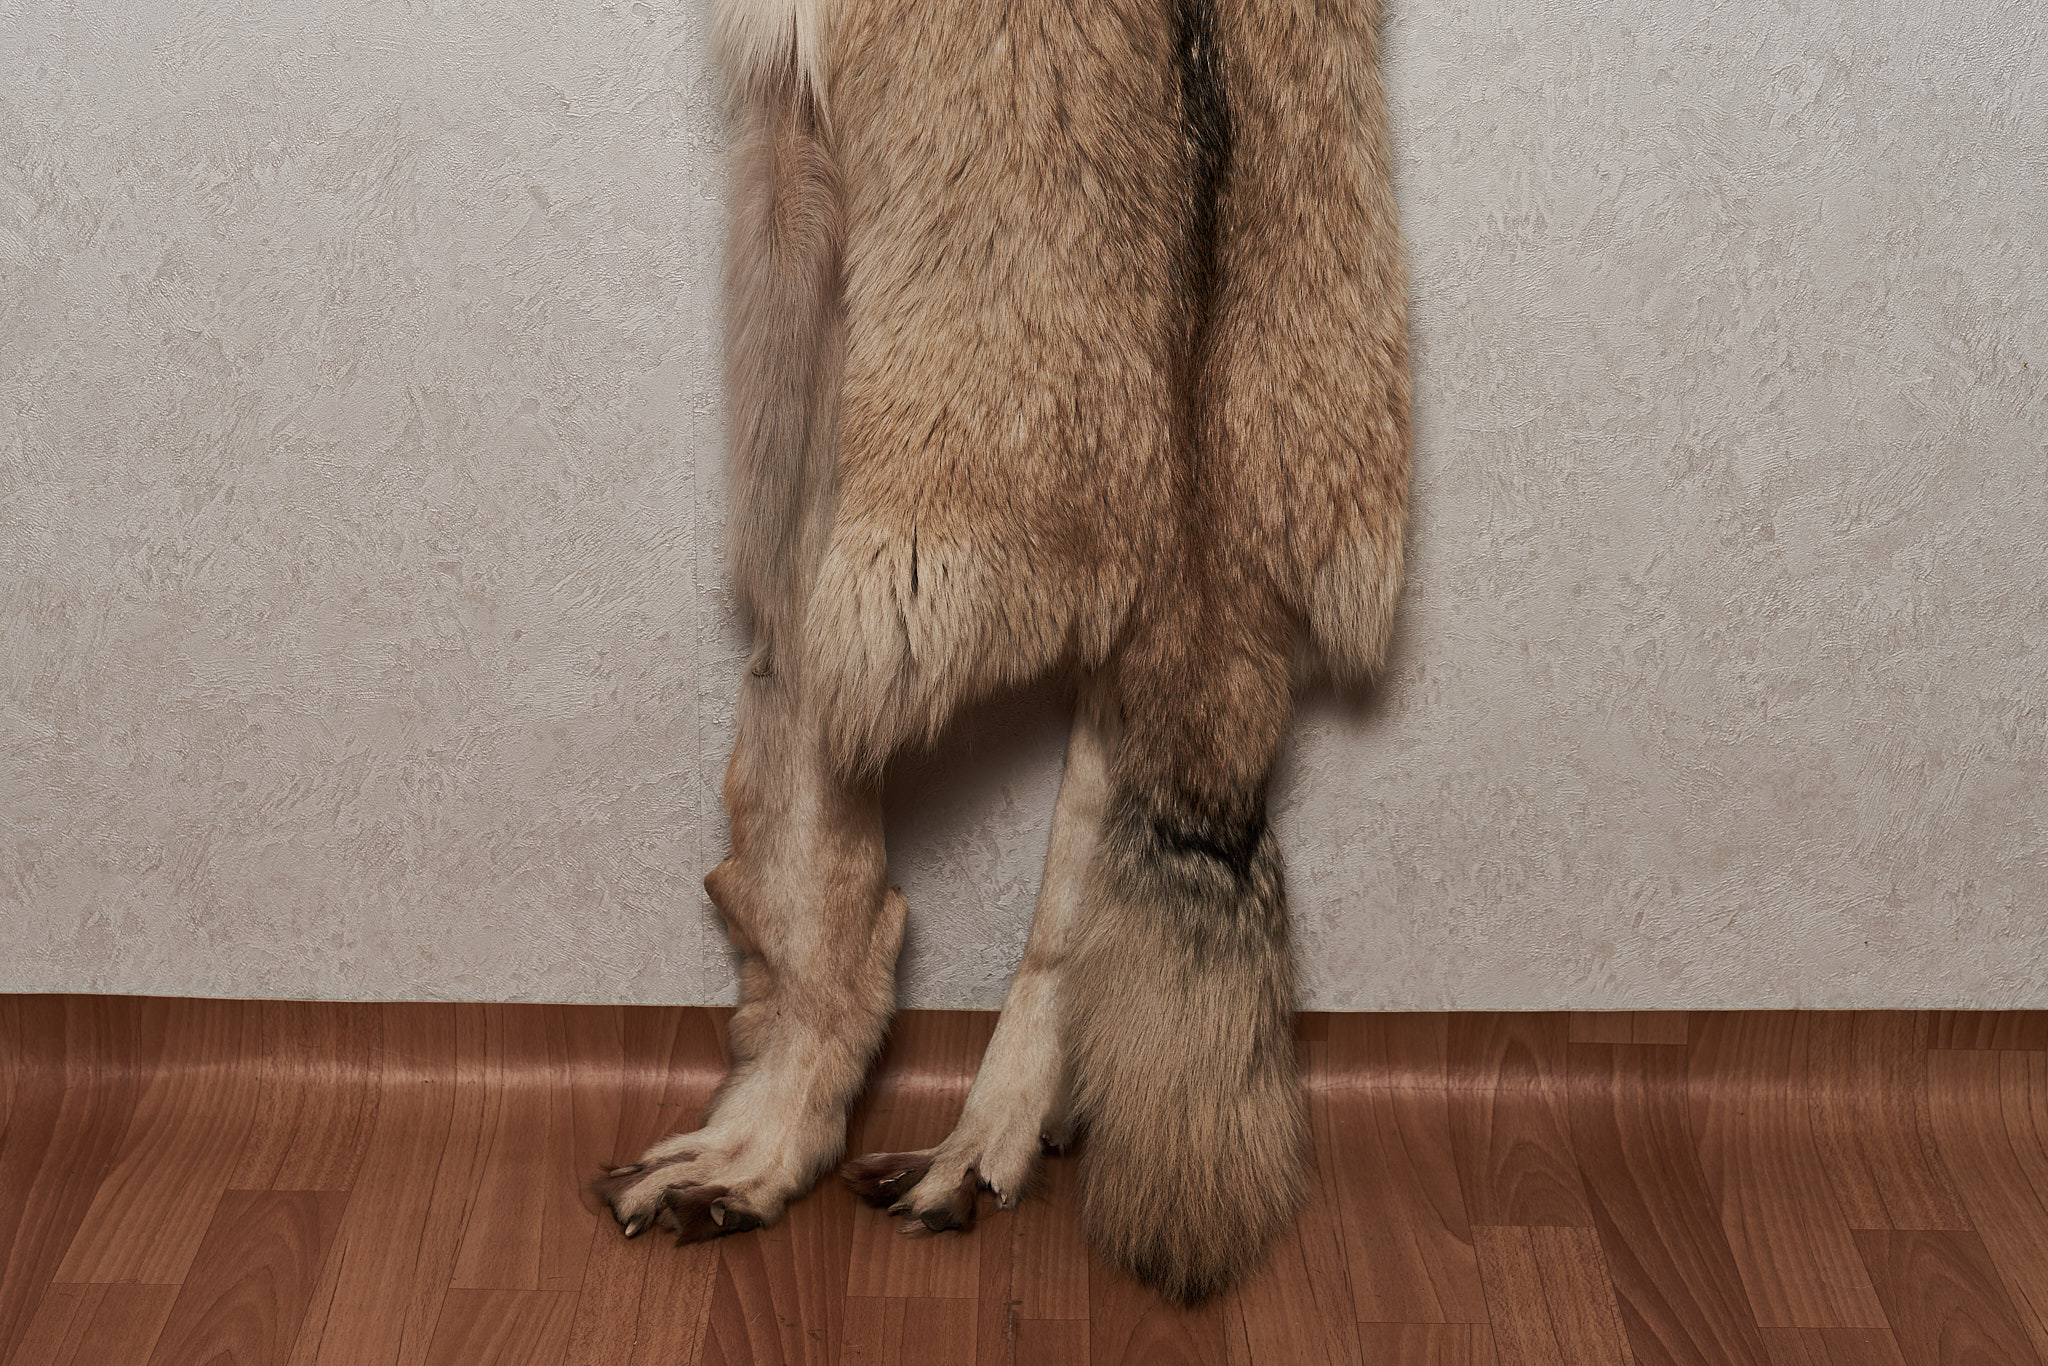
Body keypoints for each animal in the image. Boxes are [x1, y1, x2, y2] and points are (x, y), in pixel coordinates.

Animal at [600, 0, 1409, 1304]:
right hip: (1216, 544)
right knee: (1069, 887)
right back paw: (980, 1147)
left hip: (862, 504)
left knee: (828, 835)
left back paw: (758, 1149)